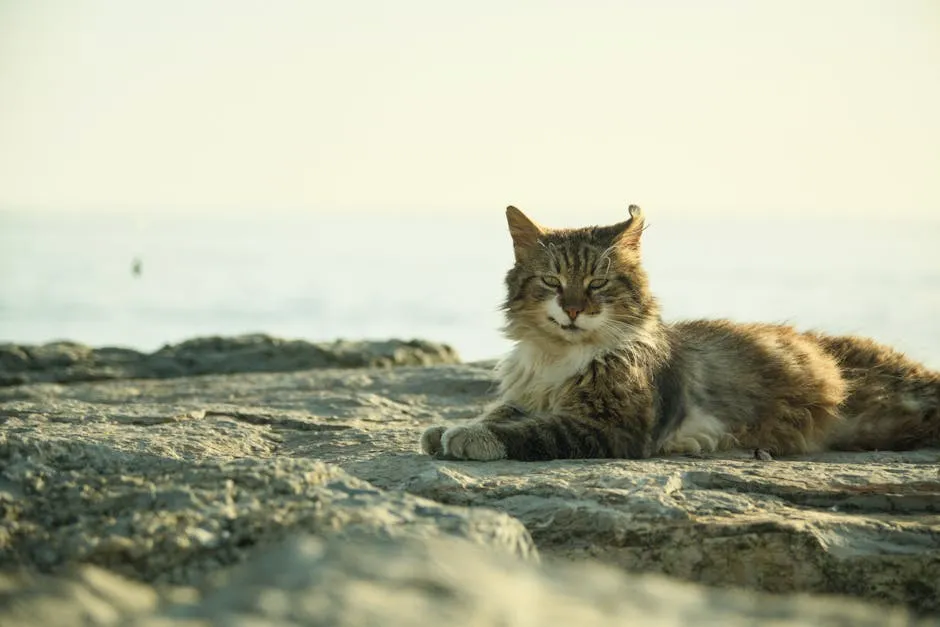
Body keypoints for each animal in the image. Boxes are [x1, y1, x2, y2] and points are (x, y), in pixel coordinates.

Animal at [420, 205, 940, 462]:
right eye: (552, 281)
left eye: (597, 283)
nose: (572, 309)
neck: (559, 357)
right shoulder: (530, 393)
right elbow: (500, 412)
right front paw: (449, 427)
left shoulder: (614, 426)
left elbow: (533, 432)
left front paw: (468, 437)